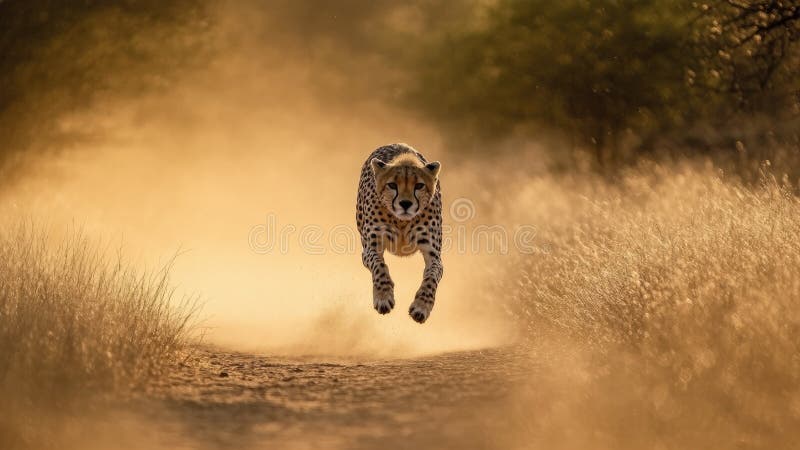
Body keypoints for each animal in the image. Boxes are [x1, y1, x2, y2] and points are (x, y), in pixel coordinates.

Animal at [356, 143, 443, 324]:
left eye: (419, 186)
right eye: (392, 185)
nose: (405, 204)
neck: (402, 221)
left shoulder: (434, 255)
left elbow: (431, 277)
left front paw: (422, 306)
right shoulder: (370, 248)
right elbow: (379, 266)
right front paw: (383, 296)